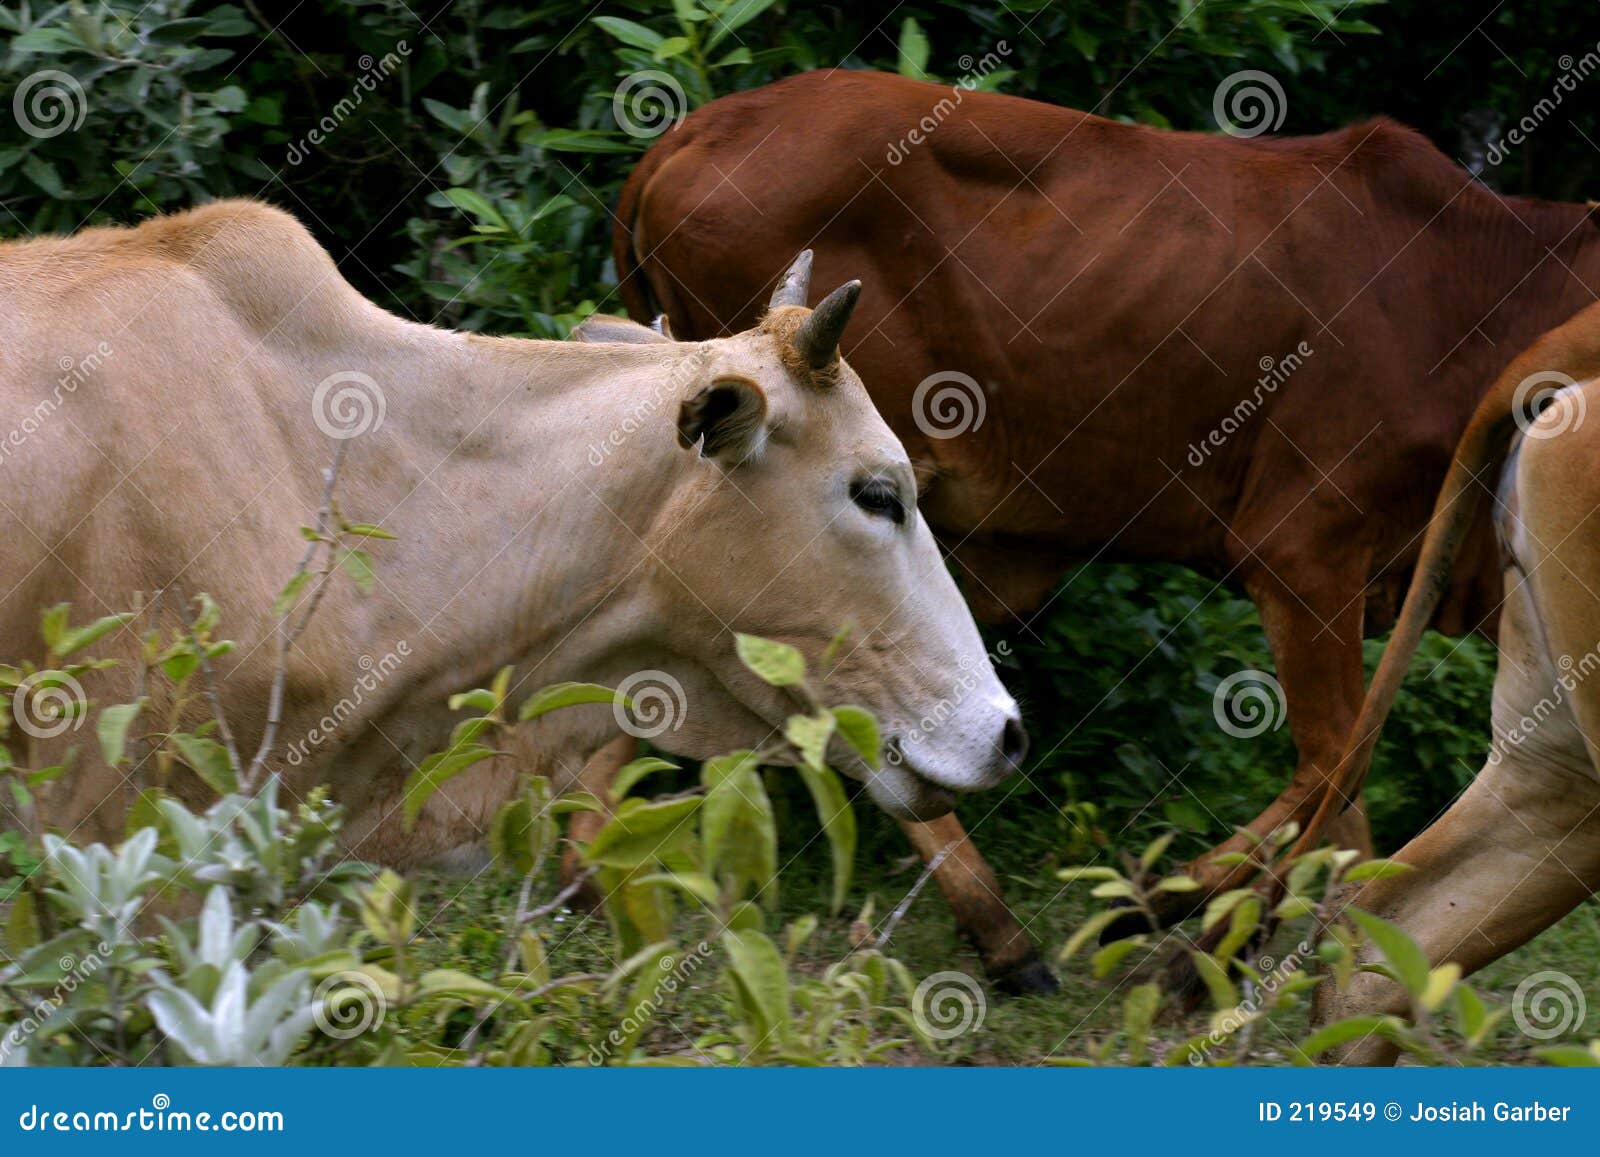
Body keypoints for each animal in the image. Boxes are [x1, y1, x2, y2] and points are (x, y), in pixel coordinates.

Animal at [613, 68, 1600, 986]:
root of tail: (687, 136)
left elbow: (1342, 783)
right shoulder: (1304, 546)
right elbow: (1337, 769)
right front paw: (1178, 933)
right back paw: (1005, 934)